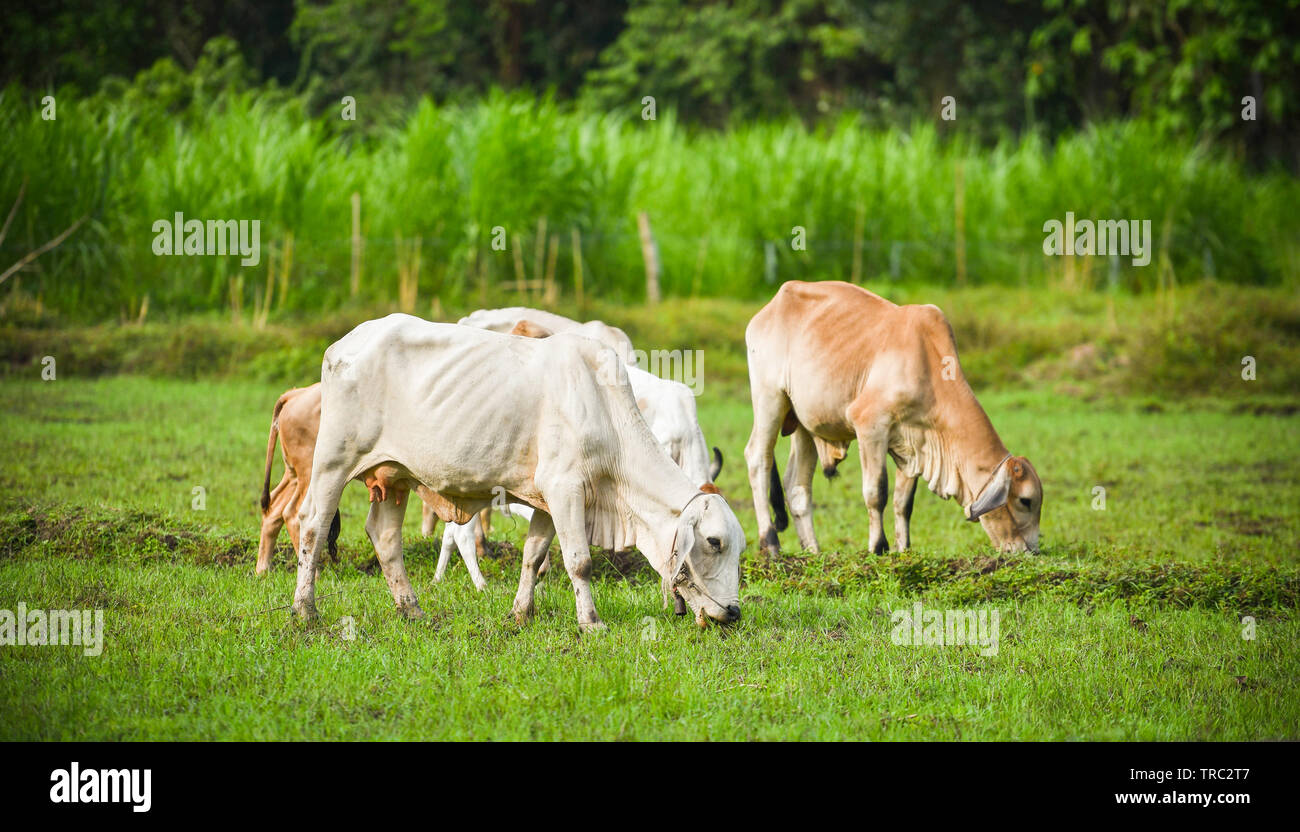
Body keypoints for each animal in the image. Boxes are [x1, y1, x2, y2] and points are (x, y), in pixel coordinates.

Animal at [257, 383, 453, 575]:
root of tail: (295, 394)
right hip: (312, 474)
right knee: (293, 514)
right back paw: (314, 572)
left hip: (293, 474)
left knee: (275, 507)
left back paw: (263, 569)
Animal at [292, 314, 744, 630]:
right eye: (714, 542)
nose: (734, 612)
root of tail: (344, 343)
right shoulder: (566, 489)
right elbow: (579, 561)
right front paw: (592, 622)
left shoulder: (547, 500)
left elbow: (534, 556)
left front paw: (521, 613)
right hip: (333, 460)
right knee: (312, 525)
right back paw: (305, 611)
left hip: (396, 476)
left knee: (385, 537)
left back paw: (413, 610)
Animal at [743, 280, 1042, 557]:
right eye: (1025, 500)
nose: (1031, 551)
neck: (929, 365)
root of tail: (772, 305)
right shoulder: (870, 426)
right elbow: (876, 492)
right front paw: (879, 546)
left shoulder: (914, 445)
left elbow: (903, 502)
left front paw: (903, 549)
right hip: (769, 400)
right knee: (758, 458)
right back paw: (770, 542)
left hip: (805, 425)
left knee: (797, 486)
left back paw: (813, 551)